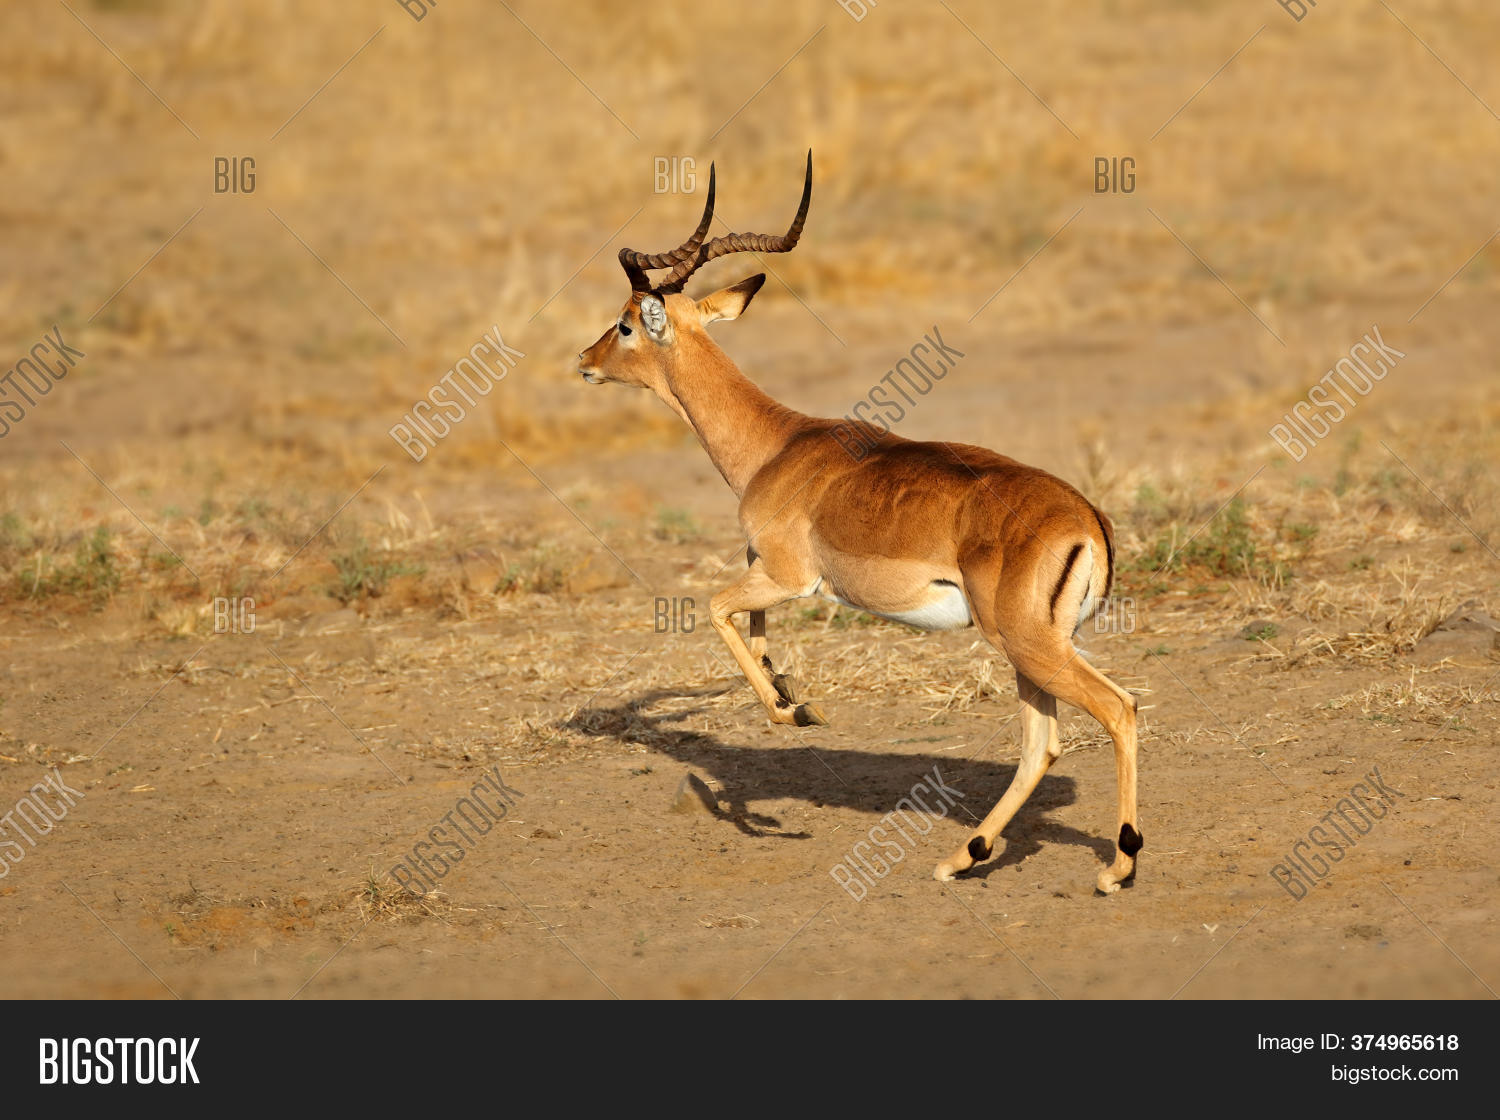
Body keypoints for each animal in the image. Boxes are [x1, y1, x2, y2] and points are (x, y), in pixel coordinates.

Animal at [576, 154, 1143, 893]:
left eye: (624, 324)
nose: (583, 361)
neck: (776, 445)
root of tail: (1087, 520)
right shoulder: (768, 572)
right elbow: (755, 631)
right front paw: (792, 692)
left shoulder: (787, 575)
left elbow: (717, 609)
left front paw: (793, 713)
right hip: (1031, 652)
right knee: (1041, 746)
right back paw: (963, 856)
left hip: (1030, 646)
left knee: (1117, 709)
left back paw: (1117, 866)